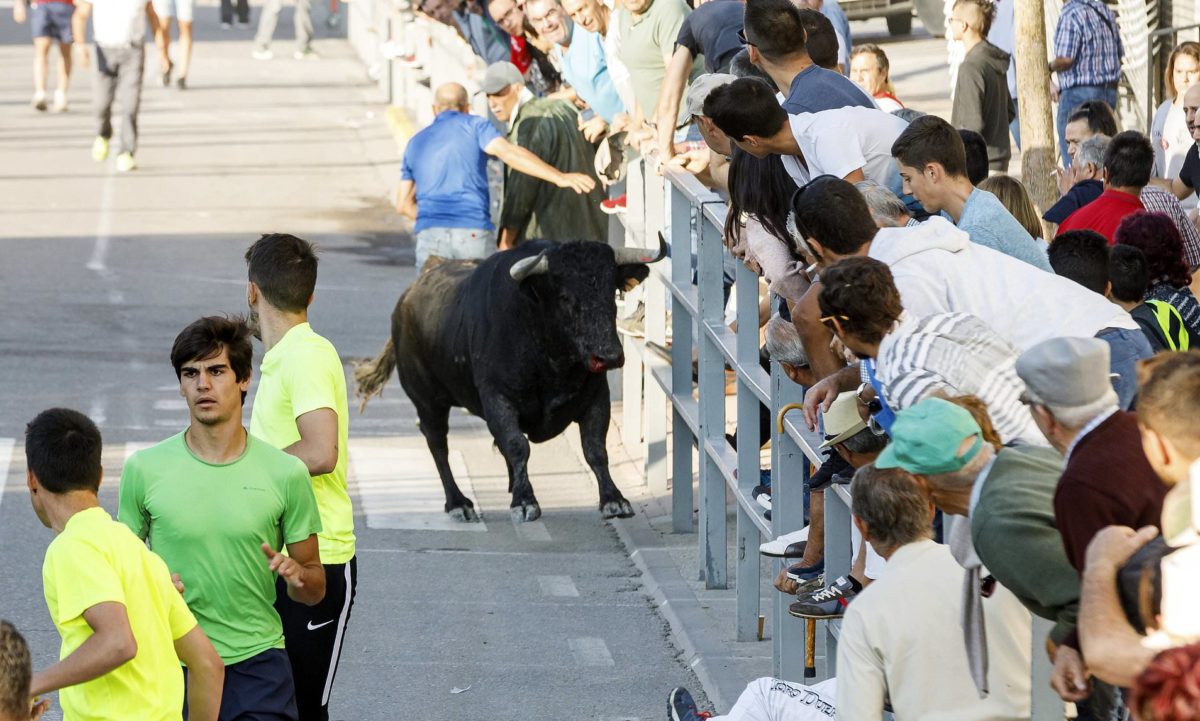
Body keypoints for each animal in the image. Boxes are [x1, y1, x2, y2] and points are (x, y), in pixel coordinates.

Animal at [354, 239, 666, 523]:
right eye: (565, 297)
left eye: (611, 291)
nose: (609, 355)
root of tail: (409, 294)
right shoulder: (497, 398)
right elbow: (518, 445)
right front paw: (525, 502)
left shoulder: (596, 397)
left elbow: (595, 449)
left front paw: (614, 499)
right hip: (427, 401)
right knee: (438, 444)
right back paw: (458, 503)